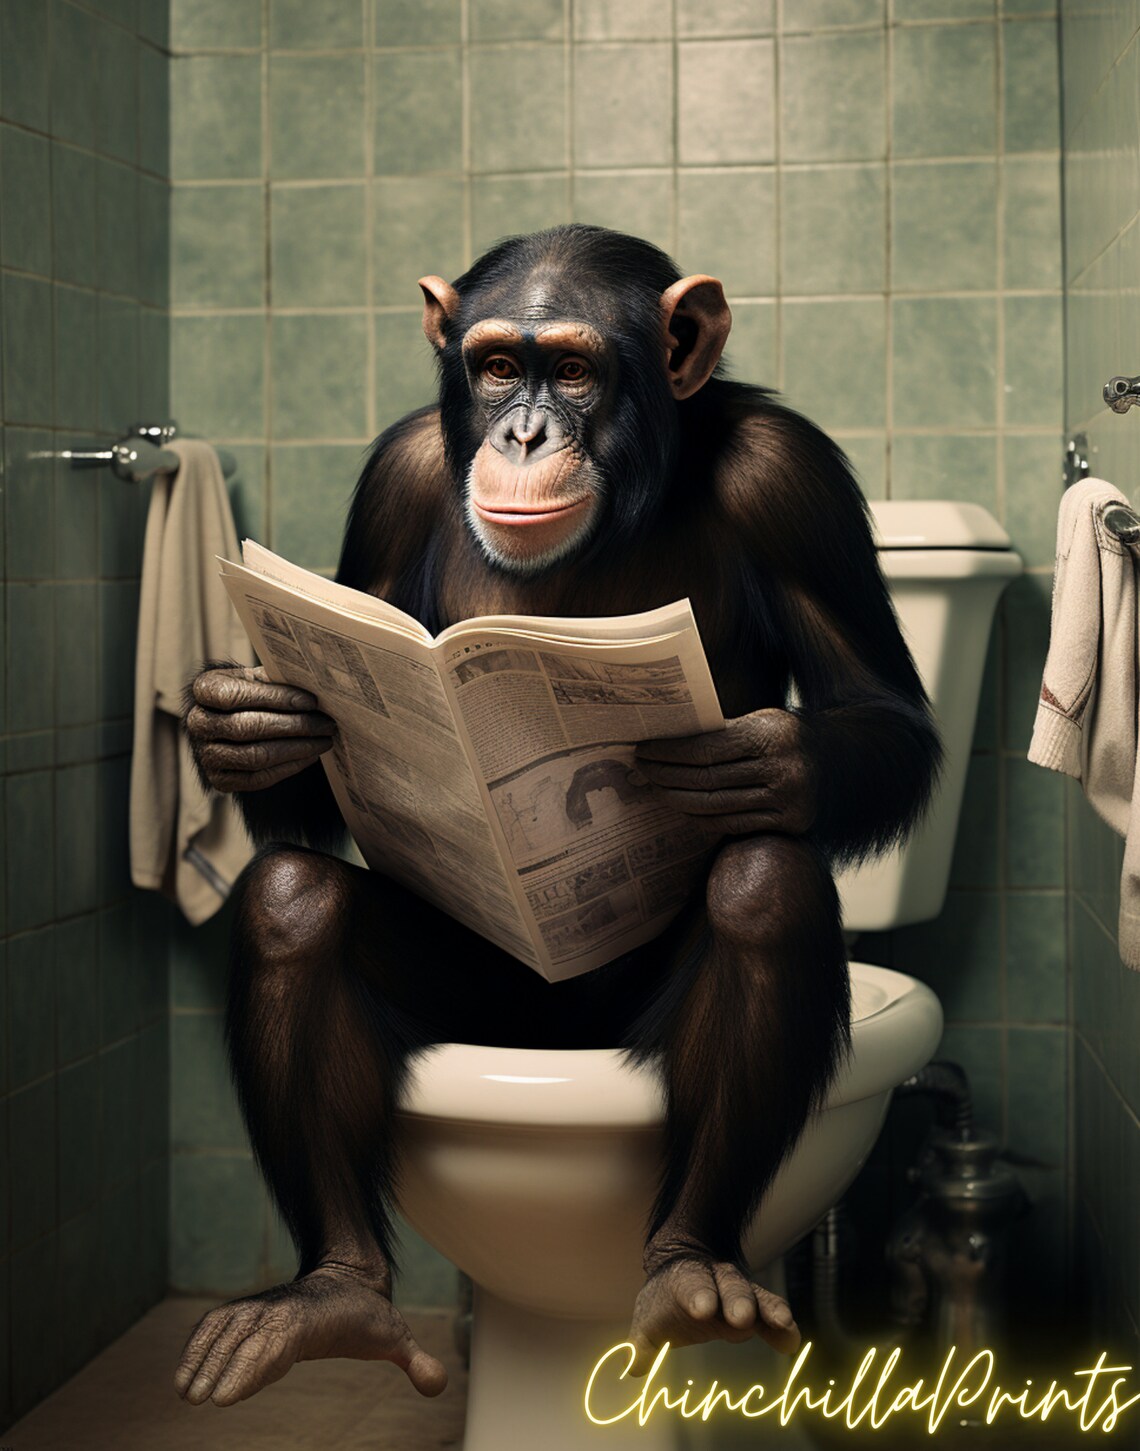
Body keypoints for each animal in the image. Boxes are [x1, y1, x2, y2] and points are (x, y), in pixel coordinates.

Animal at [177, 225, 941, 1408]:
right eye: (497, 366)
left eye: (574, 371)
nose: (525, 431)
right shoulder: (396, 478)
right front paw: (243, 719)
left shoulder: (793, 482)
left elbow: (882, 704)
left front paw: (758, 759)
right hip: (489, 1008)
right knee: (291, 900)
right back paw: (330, 1295)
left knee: (764, 885)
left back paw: (692, 1274)